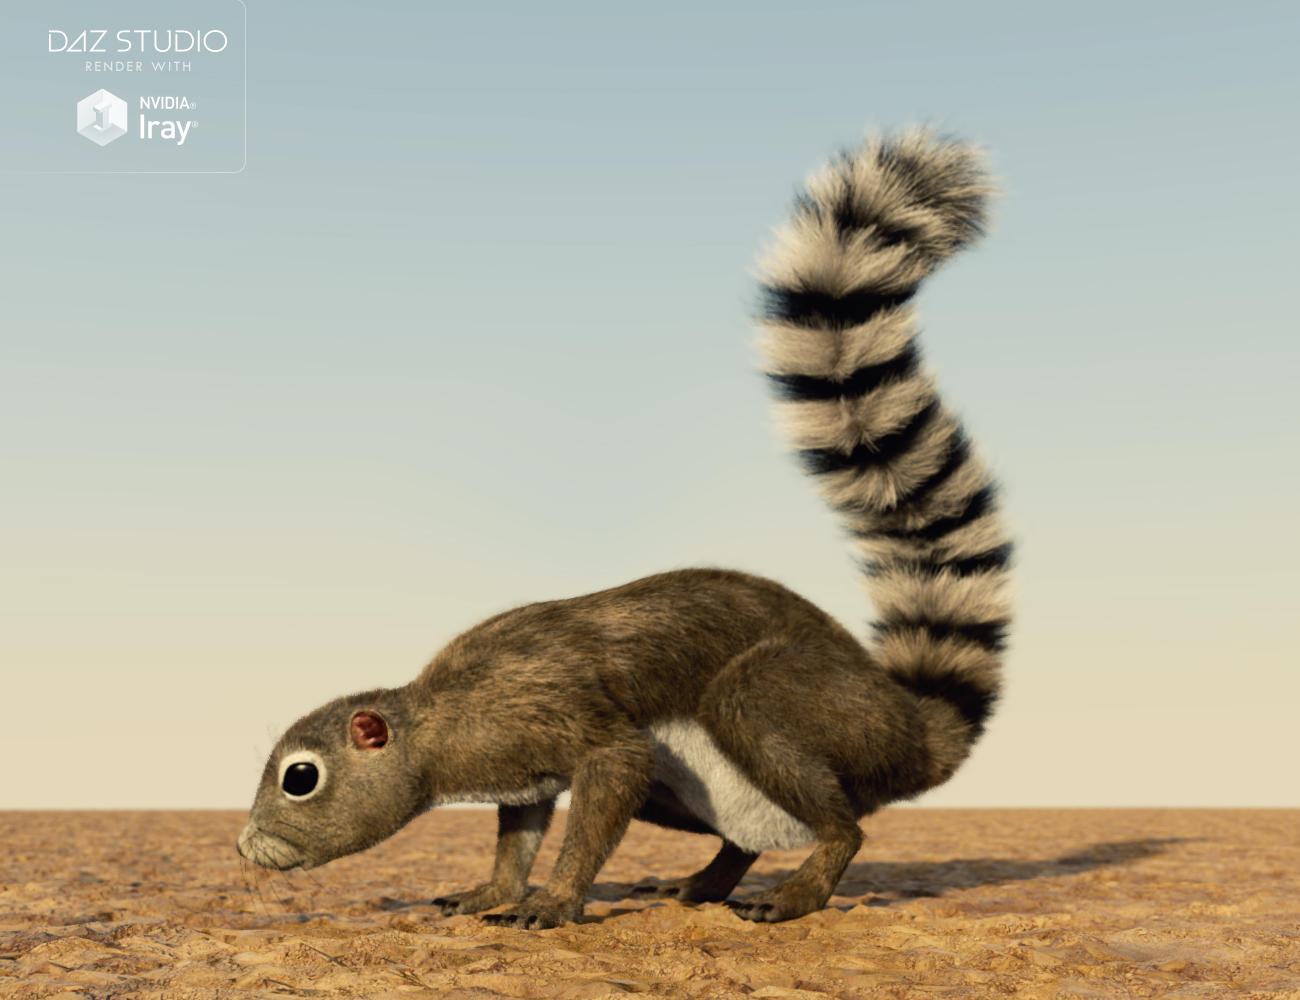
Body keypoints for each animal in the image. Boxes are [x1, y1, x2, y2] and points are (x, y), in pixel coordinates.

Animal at [238, 129, 1013, 929]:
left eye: (300, 777)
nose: (247, 846)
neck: (437, 720)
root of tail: (909, 727)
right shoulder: (521, 762)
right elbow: (523, 826)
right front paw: (498, 888)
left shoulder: (538, 710)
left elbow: (616, 764)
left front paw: (555, 899)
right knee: (738, 830)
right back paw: (709, 879)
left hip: (822, 714)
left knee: (774, 736)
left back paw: (806, 880)